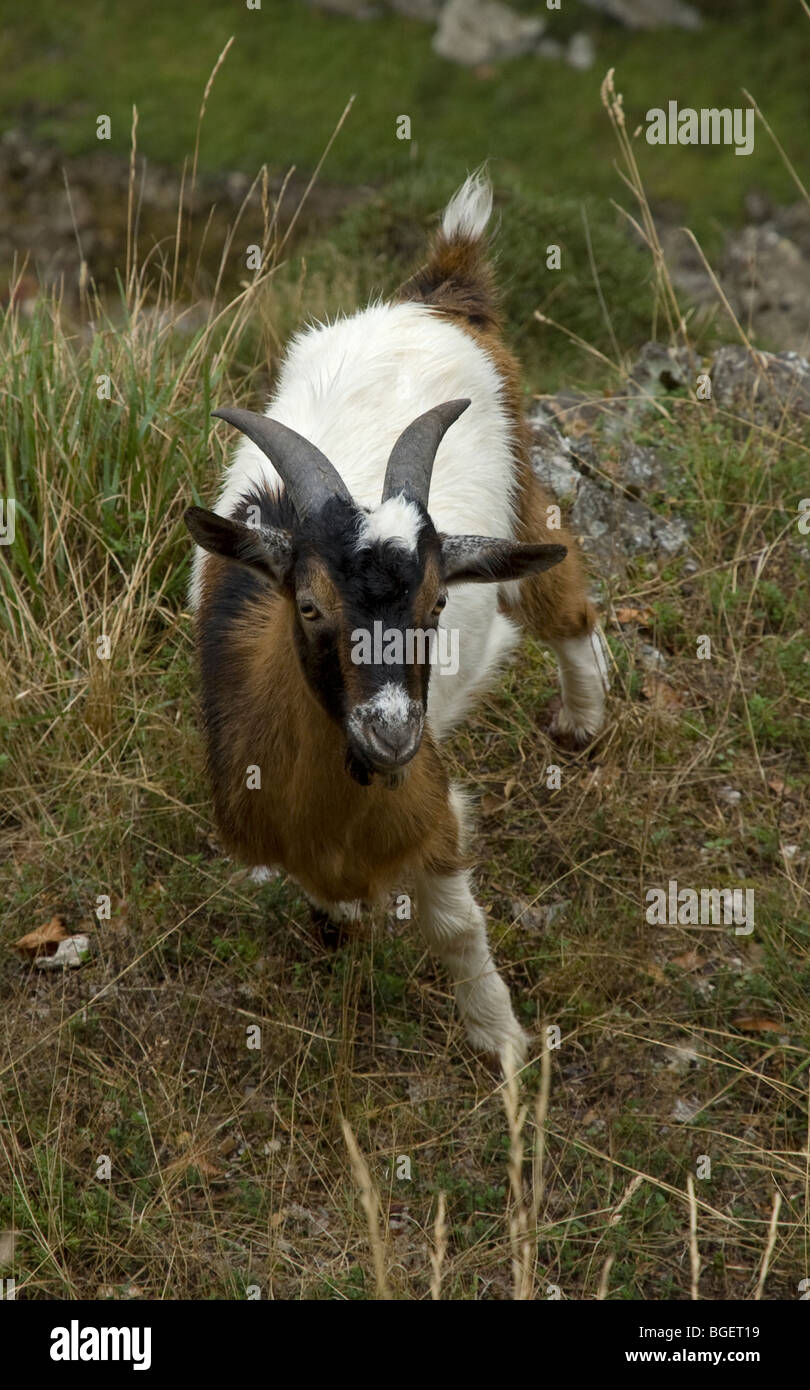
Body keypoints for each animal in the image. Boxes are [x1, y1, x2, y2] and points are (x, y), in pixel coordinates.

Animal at [185, 175, 608, 1068]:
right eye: (309, 604)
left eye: (437, 604)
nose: (390, 733)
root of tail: (436, 293)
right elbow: (328, 900)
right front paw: (344, 919)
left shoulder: (434, 813)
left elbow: (456, 928)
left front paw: (503, 1046)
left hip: (523, 485)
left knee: (565, 599)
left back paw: (583, 722)